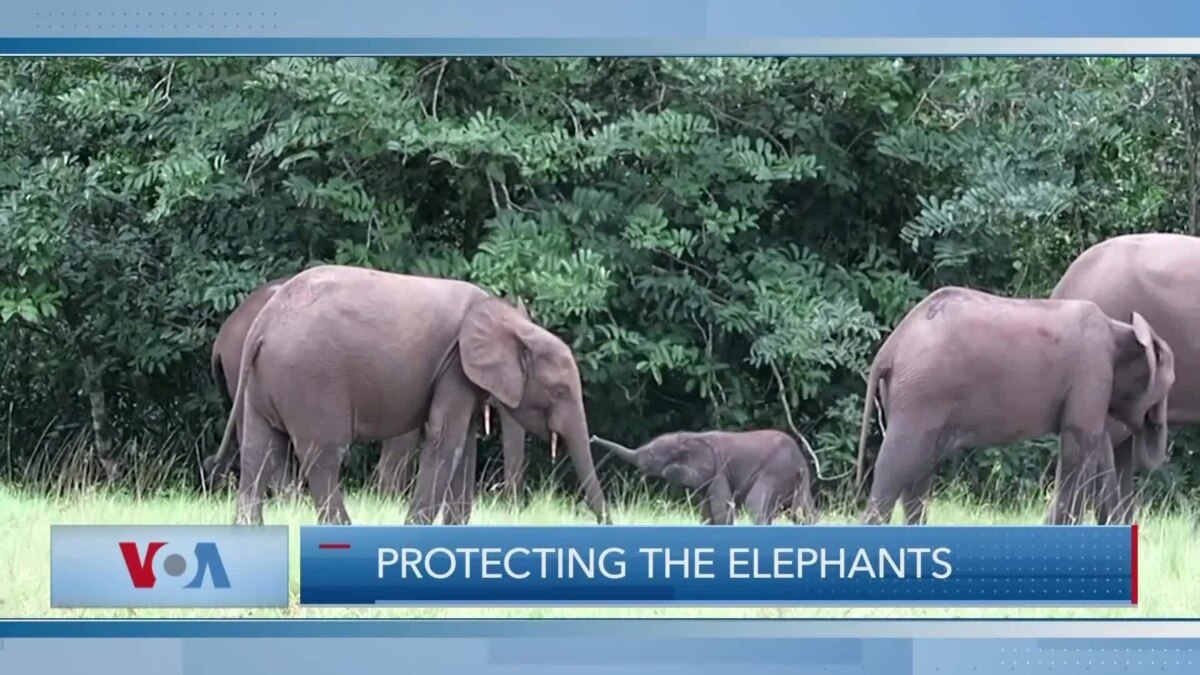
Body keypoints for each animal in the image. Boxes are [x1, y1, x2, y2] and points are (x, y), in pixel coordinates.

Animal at [591, 431, 818, 525]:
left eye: (651, 455)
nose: (592, 438)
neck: (689, 437)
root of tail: (800, 461)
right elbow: (706, 512)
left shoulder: (718, 472)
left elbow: (721, 510)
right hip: (797, 480)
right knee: (803, 513)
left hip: (774, 472)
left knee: (756, 505)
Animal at [854, 286, 1175, 526]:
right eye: (1170, 383)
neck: (1120, 329)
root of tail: (889, 348)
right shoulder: (1092, 372)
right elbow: (1080, 449)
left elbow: (1092, 449)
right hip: (921, 392)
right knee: (897, 463)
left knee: (919, 468)